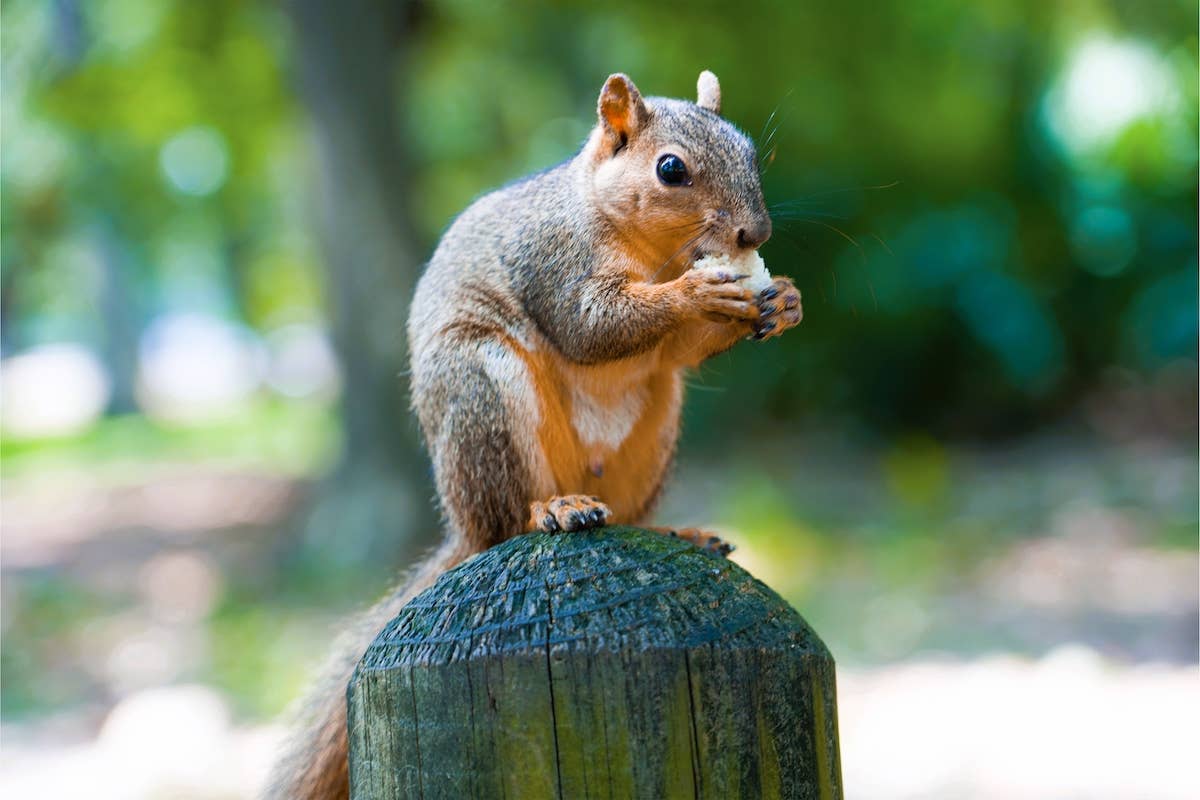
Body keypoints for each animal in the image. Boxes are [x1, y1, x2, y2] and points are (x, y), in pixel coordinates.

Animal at [265, 70, 803, 800]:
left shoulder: (667, 348)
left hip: (656, 429)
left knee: (626, 510)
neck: (651, 250)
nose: (757, 231)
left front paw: (786, 300)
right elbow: (591, 325)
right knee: (509, 518)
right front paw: (697, 293)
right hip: (484, 392)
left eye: (750, 151)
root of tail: (464, 530)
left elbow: (675, 351)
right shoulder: (552, 261)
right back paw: (553, 508)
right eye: (670, 169)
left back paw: (672, 530)